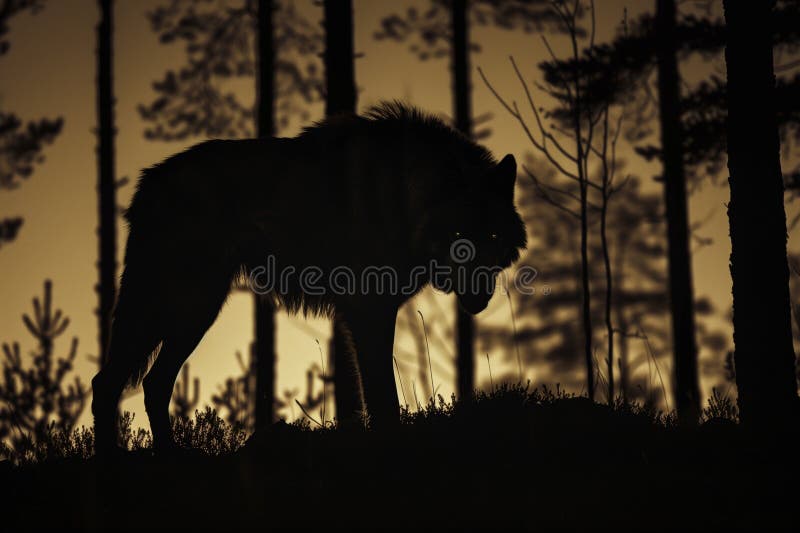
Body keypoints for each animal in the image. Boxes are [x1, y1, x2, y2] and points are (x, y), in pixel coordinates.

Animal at [91, 101, 527, 453]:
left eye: (491, 236)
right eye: (458, 236)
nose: (478, 296)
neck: (401, 195)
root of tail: (147, 183)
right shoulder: (367, 312)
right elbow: (382, 396)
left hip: (188, 313)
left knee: (146, 384)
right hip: (185, 307)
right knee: (111, 383)